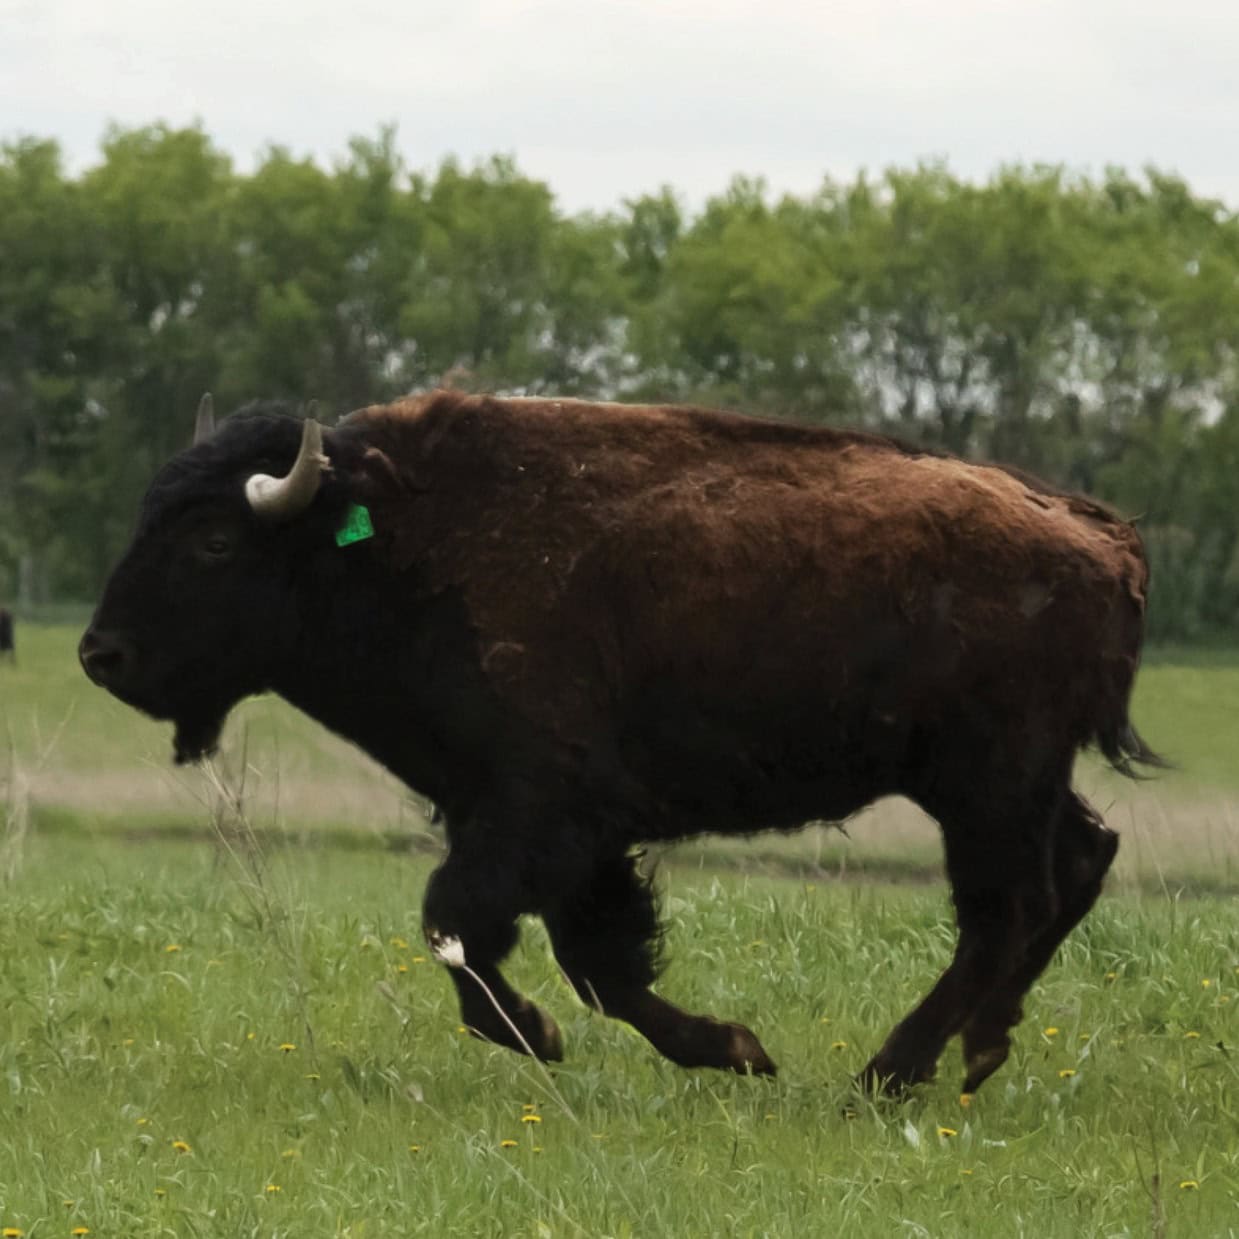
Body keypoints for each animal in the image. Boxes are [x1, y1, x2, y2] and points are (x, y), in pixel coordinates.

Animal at [80, 391, 1160, 1094]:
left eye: (214, 540)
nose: (102, 654)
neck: (391, 542)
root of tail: (1097, 535)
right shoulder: (551, 831)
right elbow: (592, 961)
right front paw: (733, 1048)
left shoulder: (538, 812)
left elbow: (466, 929)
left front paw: (556, 1035)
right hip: (1007, 782)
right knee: (1076, 865)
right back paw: (978, 1052)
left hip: (984, 782)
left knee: (1005, 905)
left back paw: (889, 1074)